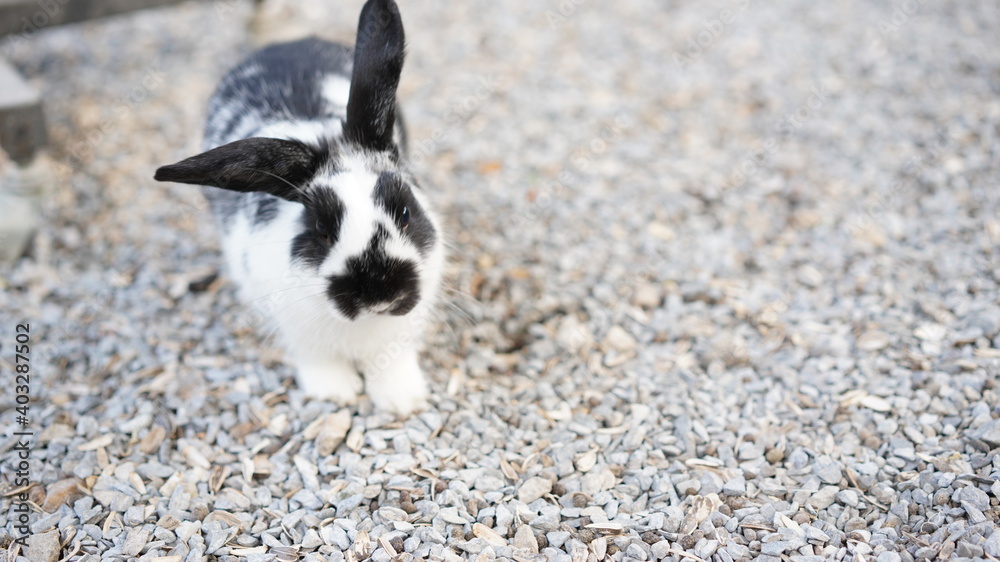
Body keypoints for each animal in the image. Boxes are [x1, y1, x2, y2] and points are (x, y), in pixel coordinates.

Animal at [154, 0, 444, 415]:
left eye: (405, 213)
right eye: (322, 229)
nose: (380, 294)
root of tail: (283, 45)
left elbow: (391, 361)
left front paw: (402, 399)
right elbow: (316, 358)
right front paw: (335, 392)